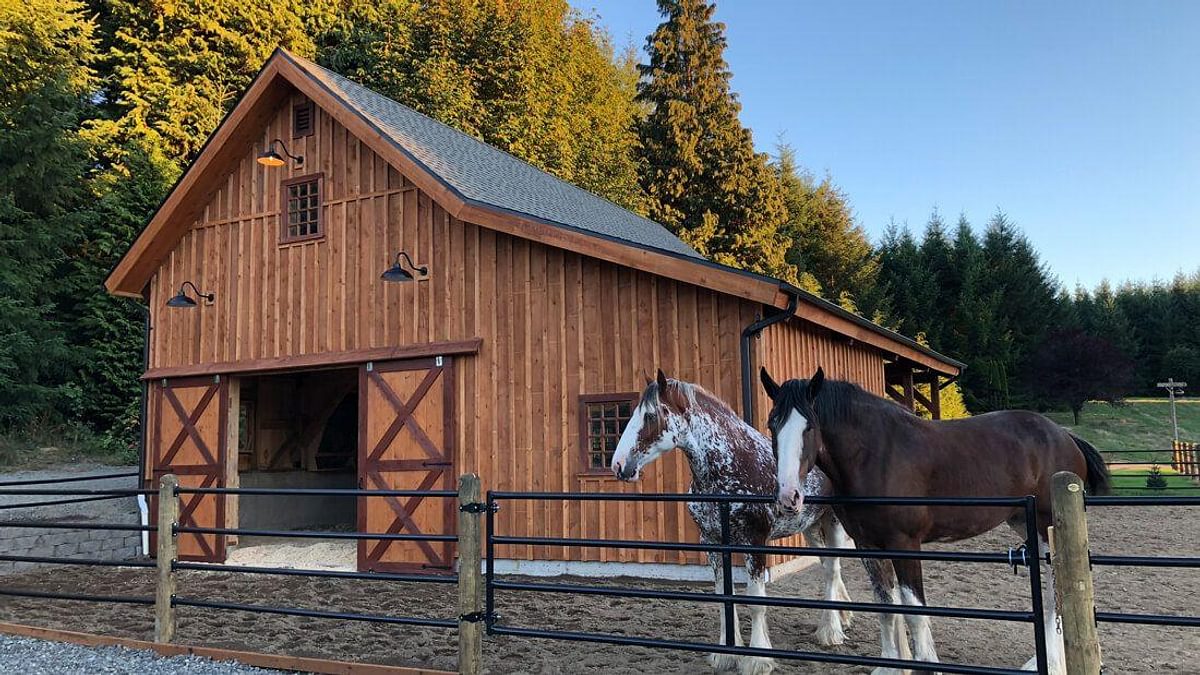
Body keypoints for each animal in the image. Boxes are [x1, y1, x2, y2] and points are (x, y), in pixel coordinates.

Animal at [610, 370, 855, 675]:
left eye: (651, 416)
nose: (618, 465)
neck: (730, 466)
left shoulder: (754, 541)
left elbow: (756, 601)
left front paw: (758, 658)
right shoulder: (713, 542)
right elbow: (723, 596)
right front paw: (726, 653)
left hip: (832, 522)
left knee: (832, 570)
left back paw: (830, 631)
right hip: (810, 527)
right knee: (826, 567)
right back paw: (843, 616)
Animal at [759, 366, 1112, 675]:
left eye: (809, 426)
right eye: (772, 425)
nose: (789, 497)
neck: (876, 455)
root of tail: (1065, 435)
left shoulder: (904, 544)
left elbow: (915, 611)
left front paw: (927, 666)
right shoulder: (867, 545)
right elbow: (886, 608)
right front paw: (890, 667)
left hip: (1046, 525)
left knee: (1056, 592)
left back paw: (1047, 663)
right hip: (1024, 524)